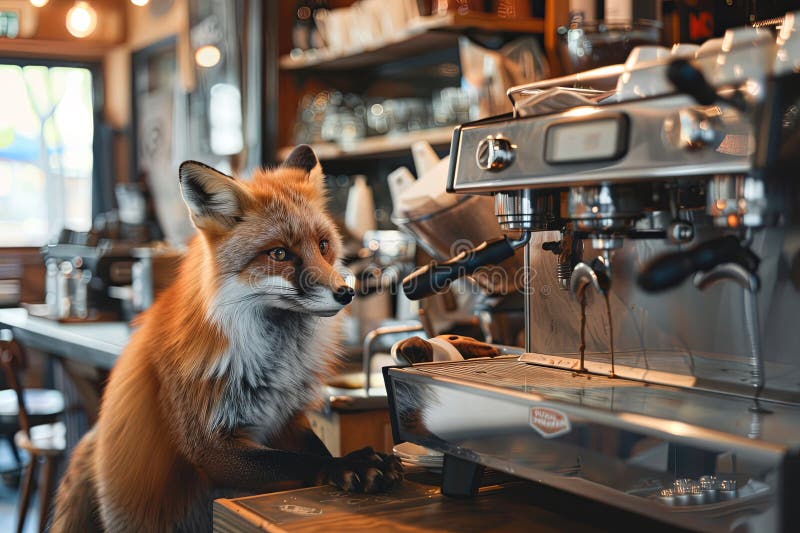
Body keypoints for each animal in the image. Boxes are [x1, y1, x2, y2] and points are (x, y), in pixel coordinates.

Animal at [50, 145, 402, 532]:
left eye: (323, 245)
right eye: (279, 253)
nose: (346, 293)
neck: (275, 363)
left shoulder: (288, 417)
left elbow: (311, 448)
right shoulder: (208, 443)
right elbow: (295, 462)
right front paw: (346, 465)